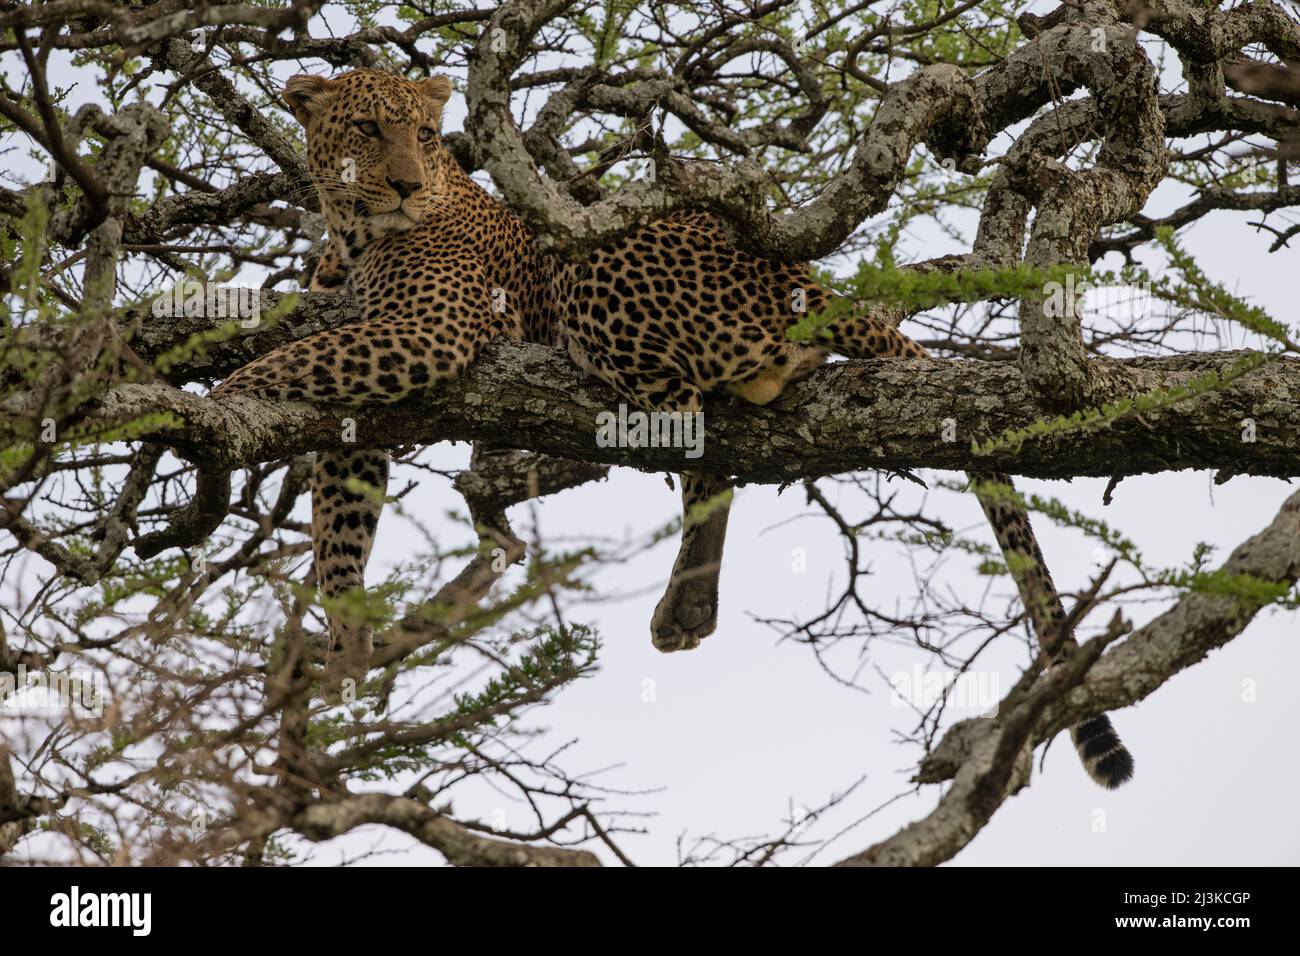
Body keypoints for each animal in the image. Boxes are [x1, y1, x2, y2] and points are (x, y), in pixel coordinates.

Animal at [212, 69, 1133, 789]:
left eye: (427, 136)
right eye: (369, 129)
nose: (406, 185)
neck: (352, 232)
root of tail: (797, 267)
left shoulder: (425, 331)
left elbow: (271, 369)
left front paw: (208, 410)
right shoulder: (366, 395)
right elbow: (339, 520)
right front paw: (346, 637)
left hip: (597, 271)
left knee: (693, 410)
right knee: (711, 455)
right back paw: (687, 603)